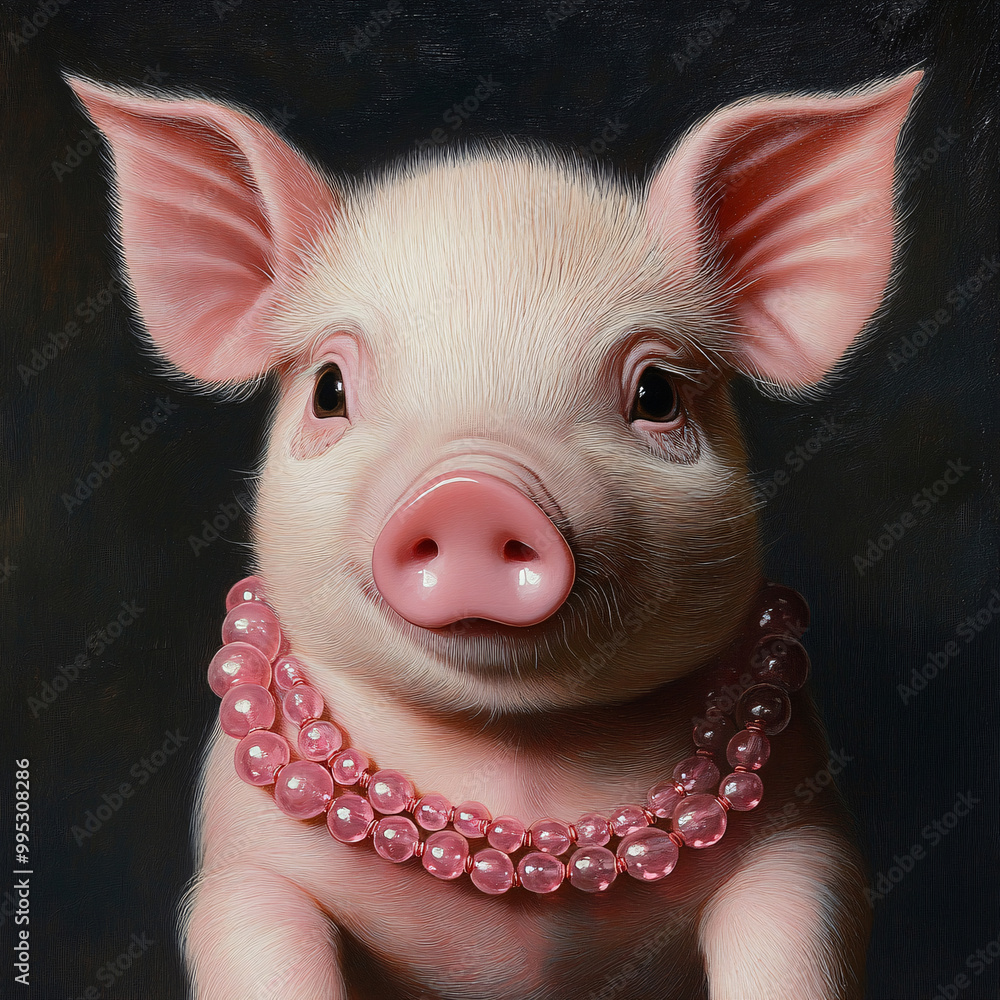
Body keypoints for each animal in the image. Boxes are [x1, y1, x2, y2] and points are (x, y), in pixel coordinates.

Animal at [68, 67, 922, 1000]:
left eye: (657, 393)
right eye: (329, 389)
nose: (471, 493)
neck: (515, 760)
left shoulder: (805, 847)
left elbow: (792, 939)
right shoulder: (244, 874)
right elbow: (258, 936)